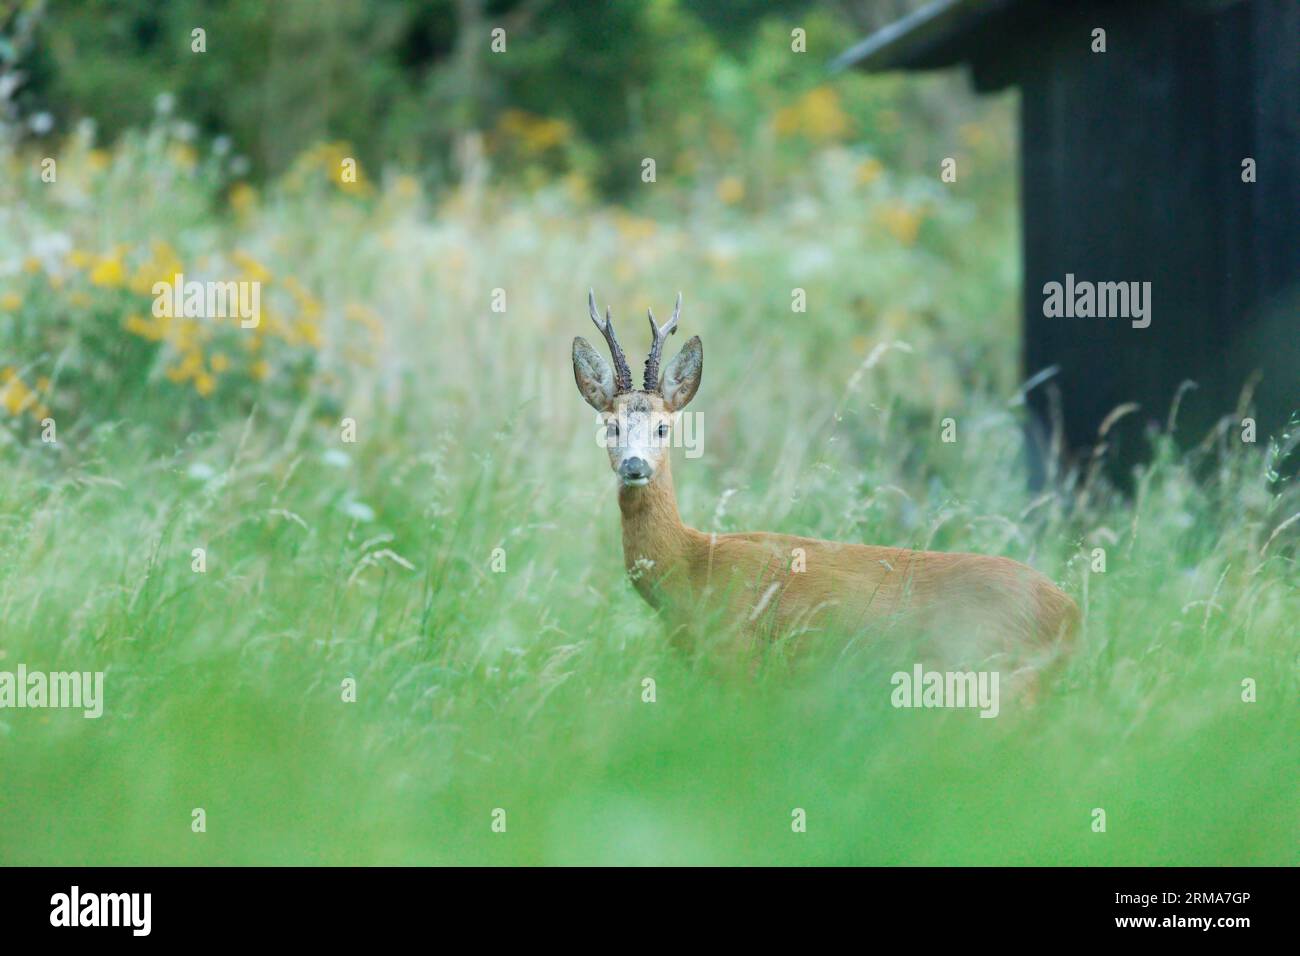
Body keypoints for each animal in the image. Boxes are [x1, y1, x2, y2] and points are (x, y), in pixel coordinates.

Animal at [572, 291, 1079, 692]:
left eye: (663, 426)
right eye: (610, 426)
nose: (635, 467)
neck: (690, 566)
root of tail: (1071, 613)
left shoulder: (740, 657)